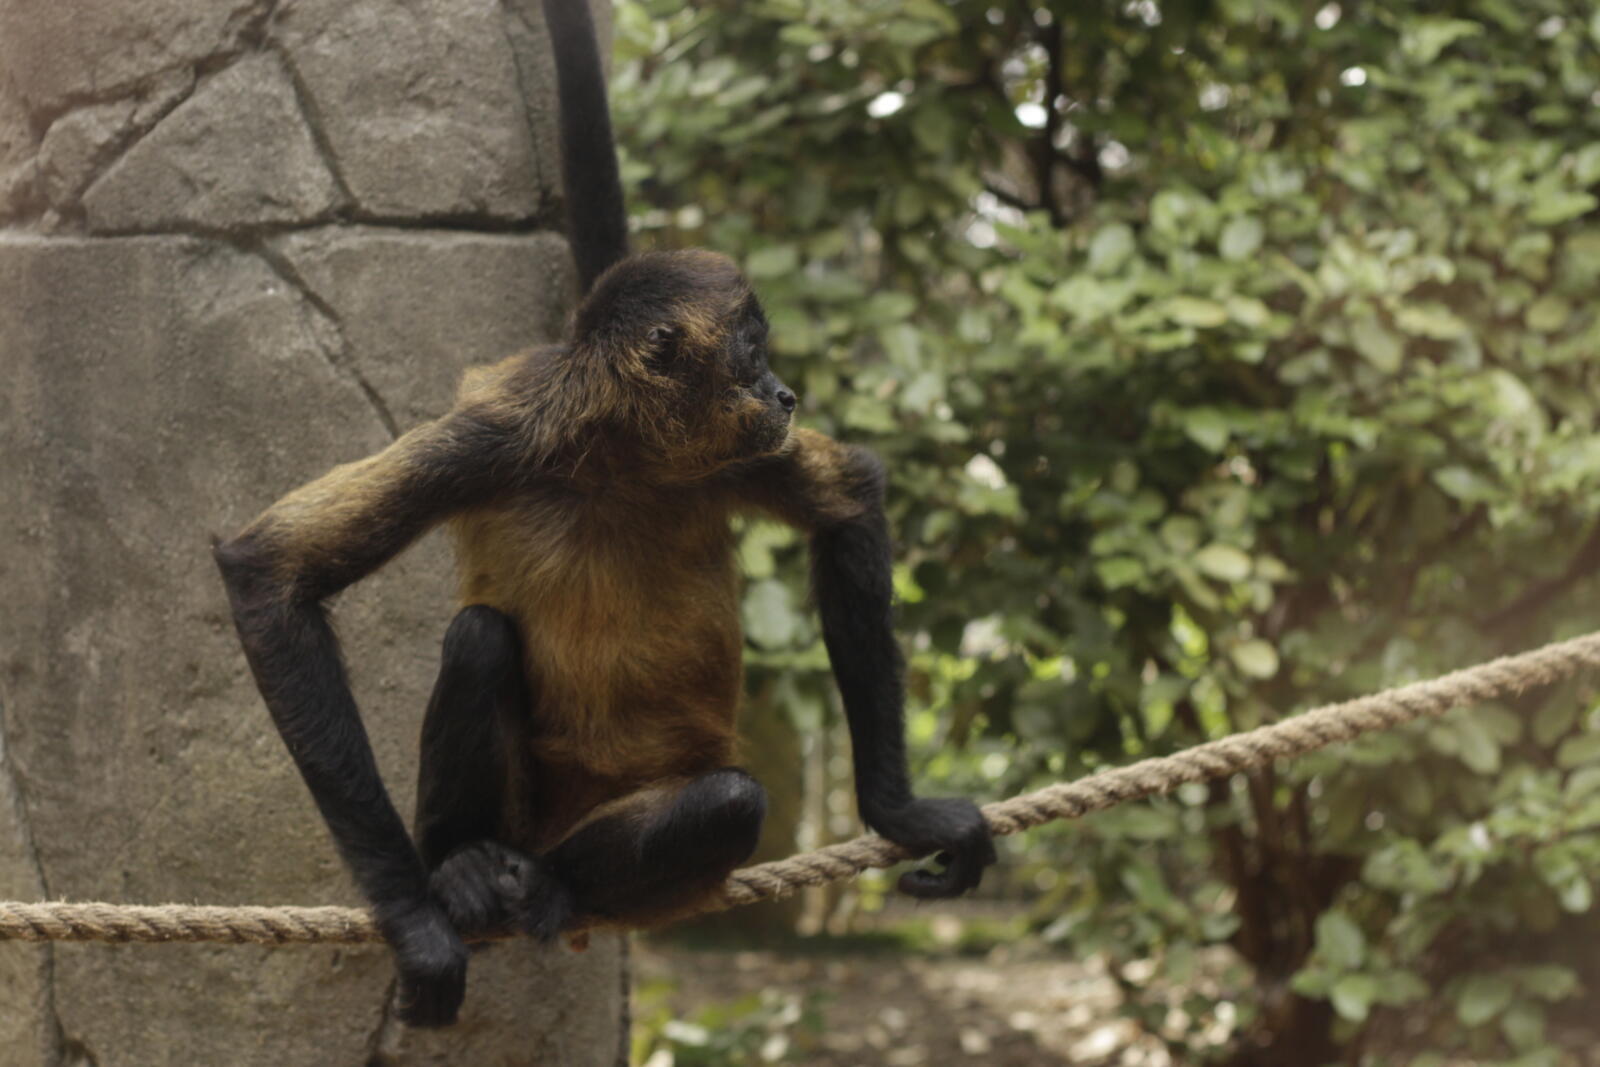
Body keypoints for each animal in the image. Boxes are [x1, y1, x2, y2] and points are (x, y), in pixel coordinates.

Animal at [213, 0, 995, 1029]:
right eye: (752, 352)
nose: (786, 393)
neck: (620, 458)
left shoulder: (730, 453)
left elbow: (851, 495)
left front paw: (901, 812)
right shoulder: (500, 432)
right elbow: (270, 569)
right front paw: (415, 922)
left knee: (729, 801)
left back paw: (544, 886)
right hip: (523, 799)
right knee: (479, 638)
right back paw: (462, 872)